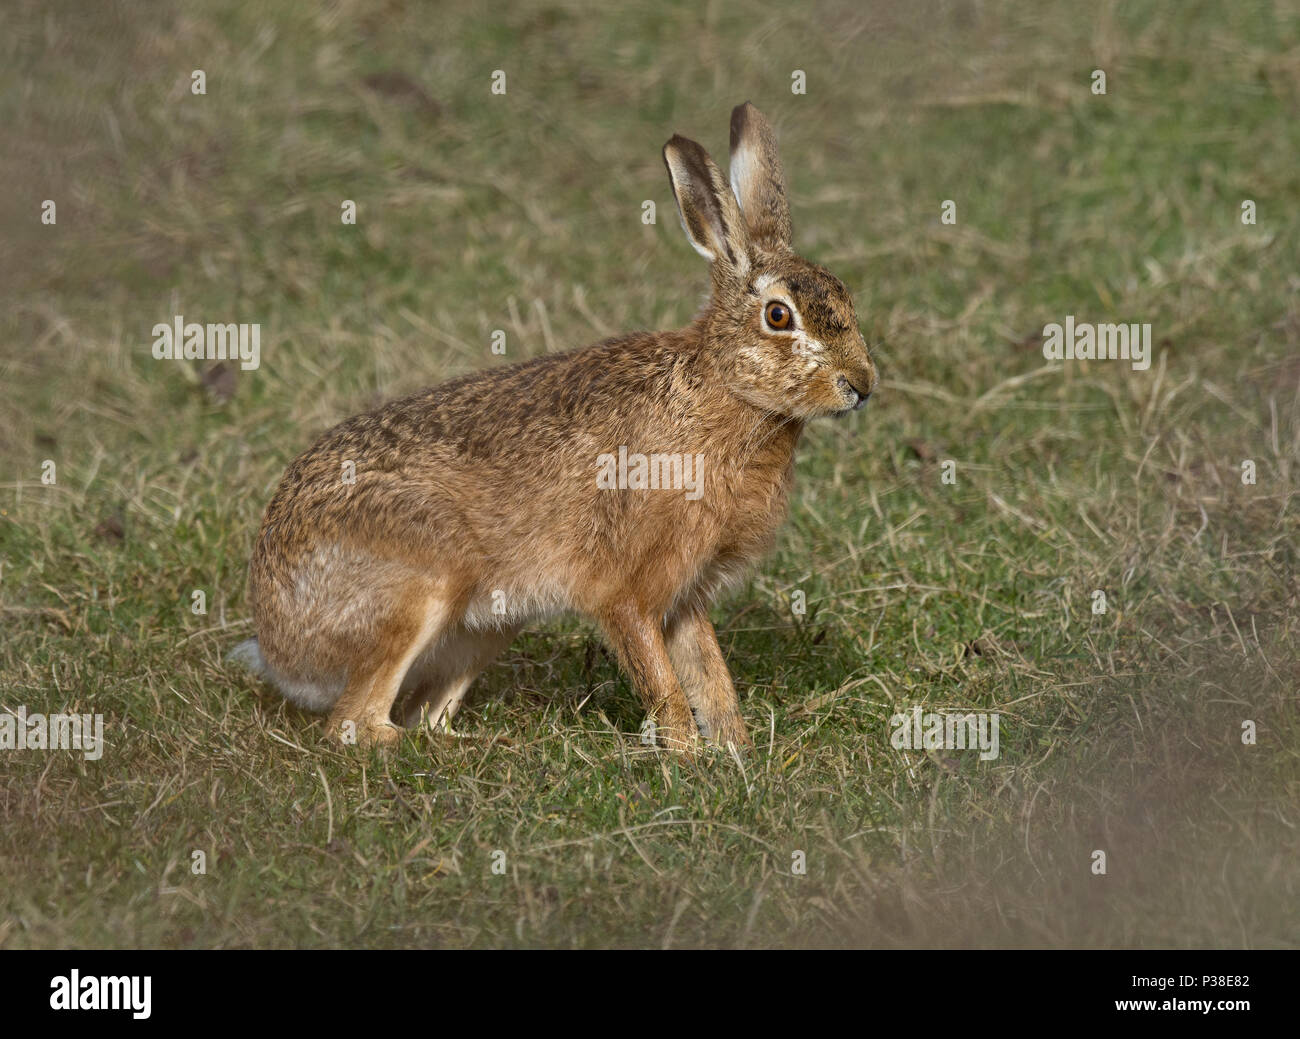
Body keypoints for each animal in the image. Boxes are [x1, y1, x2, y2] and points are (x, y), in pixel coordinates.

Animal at [230, 101, 877, 753]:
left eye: (845, 297)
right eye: (779, 316)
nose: (862, 384)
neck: (723, 390)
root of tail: (277, 640)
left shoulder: (685, 598)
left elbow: (709, 676)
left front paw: (734, 751)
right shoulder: (628, 592)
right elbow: (663, 680)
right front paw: (688, 755)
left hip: (486, 628)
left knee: (421, 711)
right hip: (418, 584)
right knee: (354, 725)